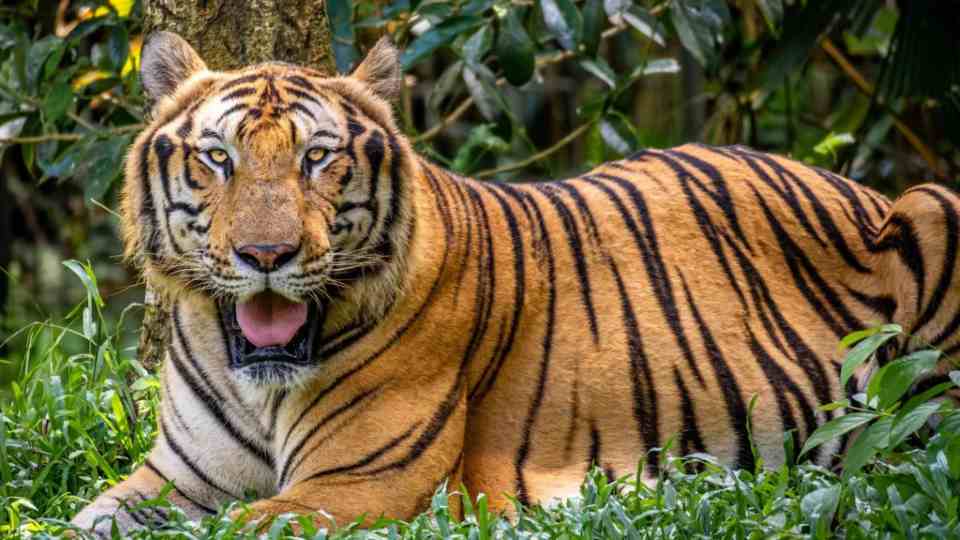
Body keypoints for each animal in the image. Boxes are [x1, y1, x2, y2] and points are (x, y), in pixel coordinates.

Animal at [71, 31, 960, 535]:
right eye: (217, 158)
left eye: (317, 158)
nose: (266, 255)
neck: (249, 375)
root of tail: (859, 187)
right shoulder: (175, 479)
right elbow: (78, 522)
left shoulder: (359, 482)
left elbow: (235, 527)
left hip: (934, 207)